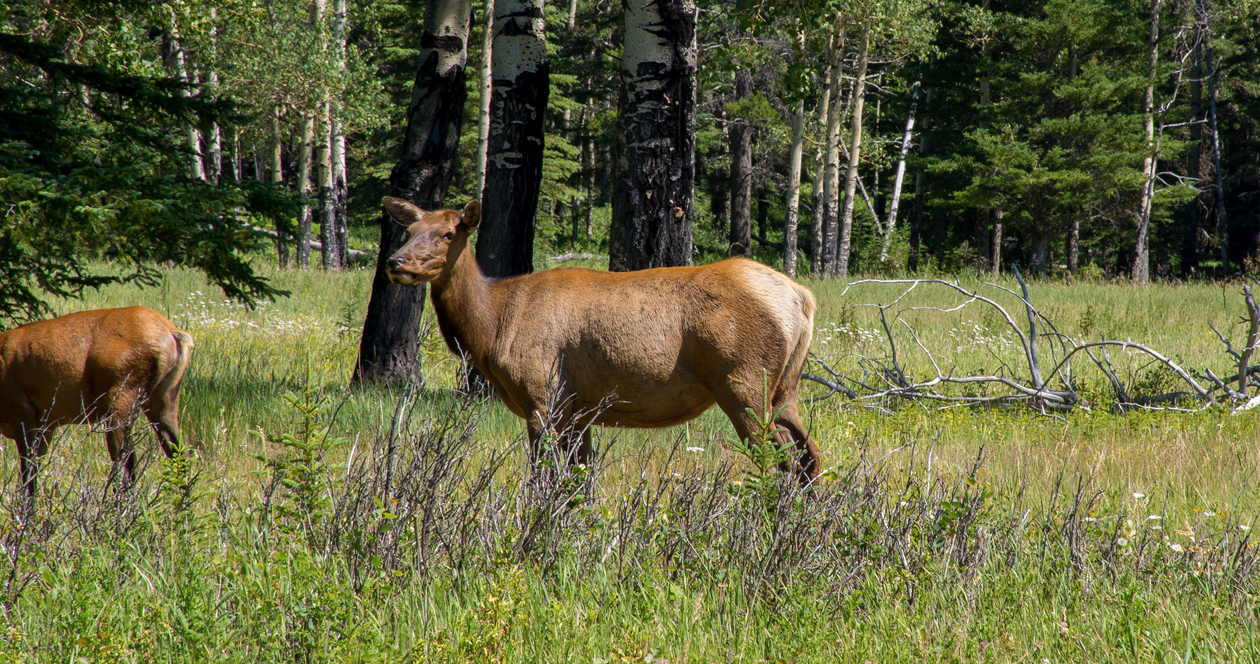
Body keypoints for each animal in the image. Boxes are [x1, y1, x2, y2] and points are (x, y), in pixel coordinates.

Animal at [0, 306, 194, 497]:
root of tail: (171, 332)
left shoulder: (21, 409)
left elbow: (28, 476)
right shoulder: (46, 423)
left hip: (121, 396)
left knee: (126, 465)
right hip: (164, 398)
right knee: (179, 457)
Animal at [381, 197, 822, 482]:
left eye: (447, 233)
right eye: (410, 230)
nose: (395, 261)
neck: (493, 329)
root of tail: (802, 297)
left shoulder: (542, 397)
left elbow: (542, 482)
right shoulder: (578, 411)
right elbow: (579, 484)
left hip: (742, 381)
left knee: (781, 462)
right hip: (785, 389)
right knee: (810, 458)